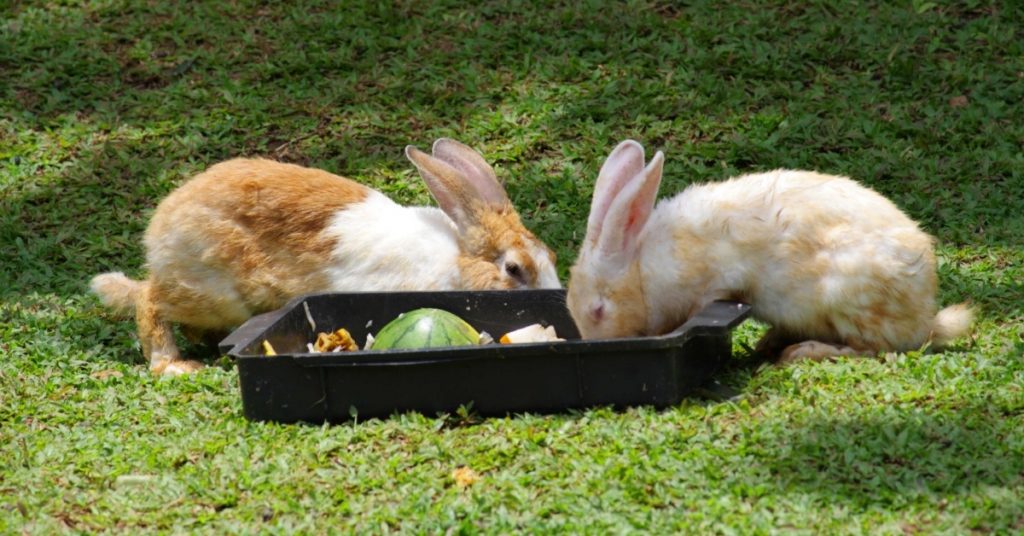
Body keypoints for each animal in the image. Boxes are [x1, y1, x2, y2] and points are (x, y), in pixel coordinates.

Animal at [91, 138, 560, 375]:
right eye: (514, 268)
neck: (457, 259)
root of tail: (159, 233)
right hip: (213, 294)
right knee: (149, 301)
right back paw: (173, 365)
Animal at [567, 140, 973, 364]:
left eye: (598, 310)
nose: (598, 343)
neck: (641, 267)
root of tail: (925, 319)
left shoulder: (714, 286)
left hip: (846, 297)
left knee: (874, 348)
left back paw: (799, 352)